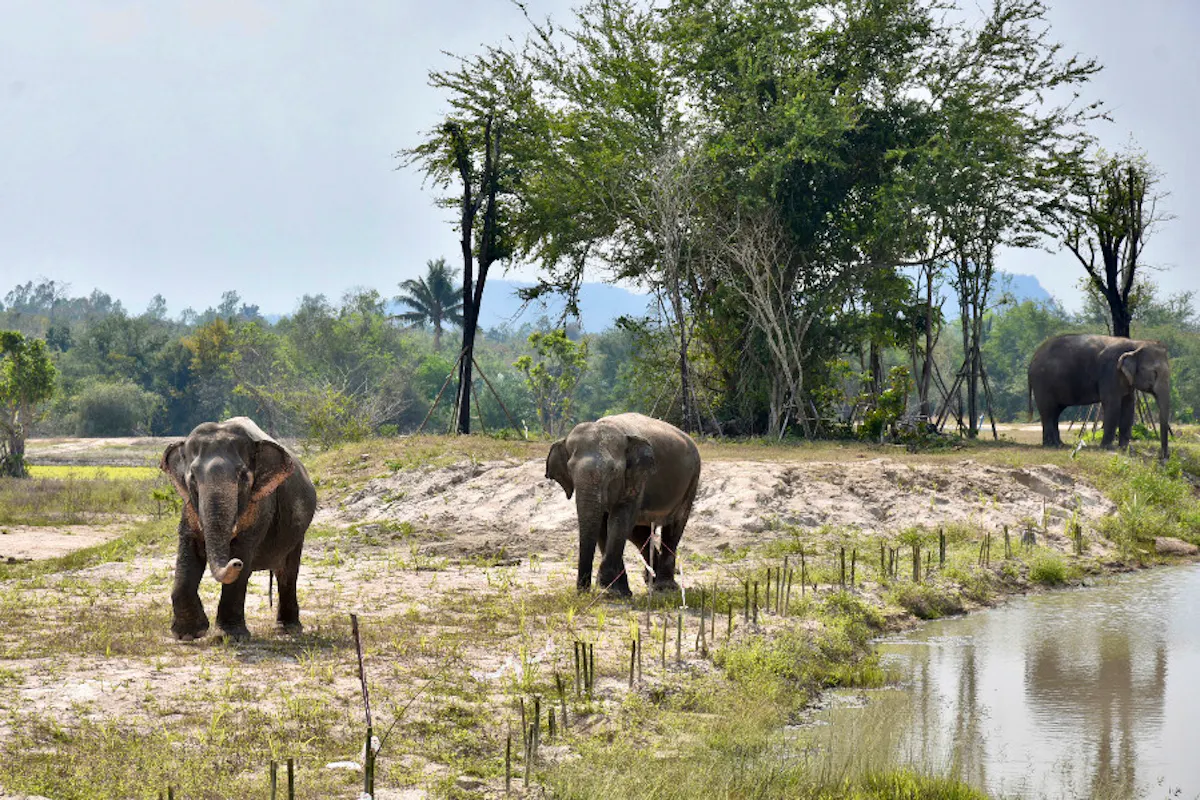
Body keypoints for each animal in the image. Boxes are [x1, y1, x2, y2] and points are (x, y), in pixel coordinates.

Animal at [160, 417, 317, 640]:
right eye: (193, 479)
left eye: (243, 477)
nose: (235, 563)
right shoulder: (189, 506)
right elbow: (189, 551)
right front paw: (190, 634)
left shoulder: (260, 506)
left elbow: (242, 548)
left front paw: (230, 636)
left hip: (298, 532)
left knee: (287, 571)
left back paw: (288, 629)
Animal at [545, 413, 701, 597]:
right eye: (570, 470)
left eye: (613, 471)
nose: (583, 591)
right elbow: (603, 526)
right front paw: (619, 592)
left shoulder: (638, 479)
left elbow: (619, 520)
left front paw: (609, 587)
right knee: (639, 533)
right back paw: (650, 580)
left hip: (692, 480)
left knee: (674, 527)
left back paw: (665, 587)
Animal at [1028, 334, 1171, 459]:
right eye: (1155, 373)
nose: (1163, 457)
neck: (1135, 343)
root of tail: (1032, 359)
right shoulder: (1111, 372)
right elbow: (1112, 405)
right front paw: (1107, 448)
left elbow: (1129, 406)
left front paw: (1124, 448)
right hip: (1042, 383)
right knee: (1048, 411)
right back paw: (1052, 445)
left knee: (1054, 412)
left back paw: (1058, 444)